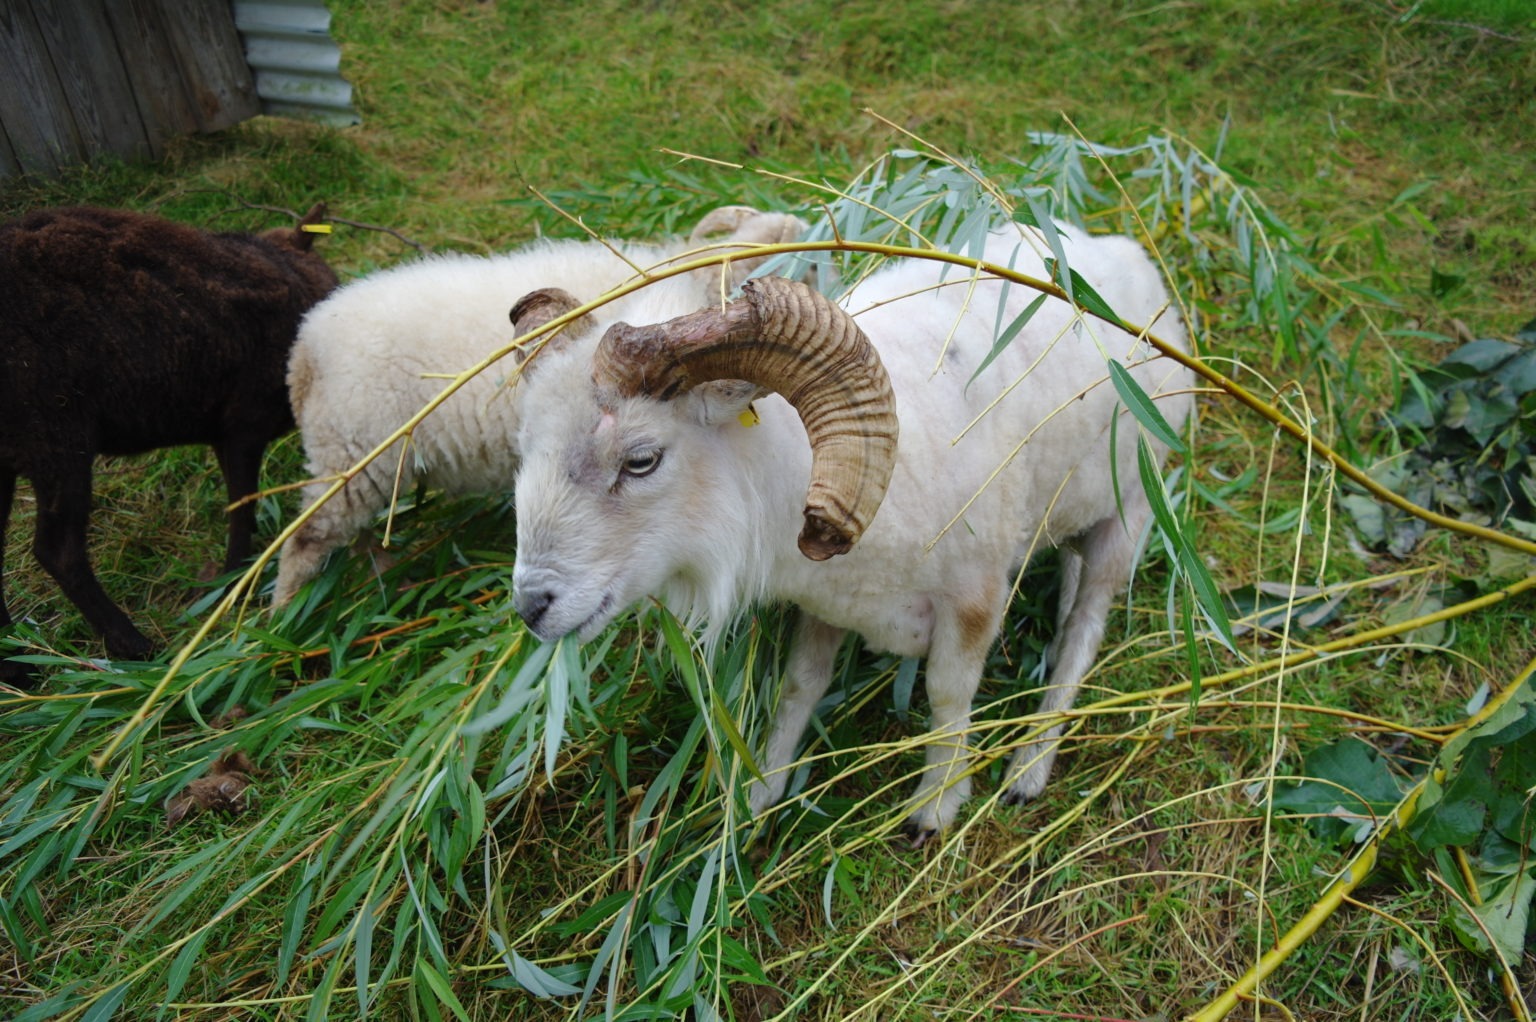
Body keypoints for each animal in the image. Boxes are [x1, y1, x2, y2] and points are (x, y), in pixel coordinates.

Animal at [0, 203, 336, 685]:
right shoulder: (242, 423)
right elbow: (242, 505)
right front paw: (235, 578)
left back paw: (18, 666)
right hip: (53, 435)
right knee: (59, 552)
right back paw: (134, 648)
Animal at [504, 224, 1194, 840]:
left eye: (642, 460)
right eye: (525, 449)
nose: (531, 606)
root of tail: (1122, 250)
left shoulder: (974, 597)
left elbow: (947, 696)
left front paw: (936, 805)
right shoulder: (826, 604)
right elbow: (799, 686)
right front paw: (760, 794)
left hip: (1133, 502)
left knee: (1083, 628)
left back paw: (1031, 762)